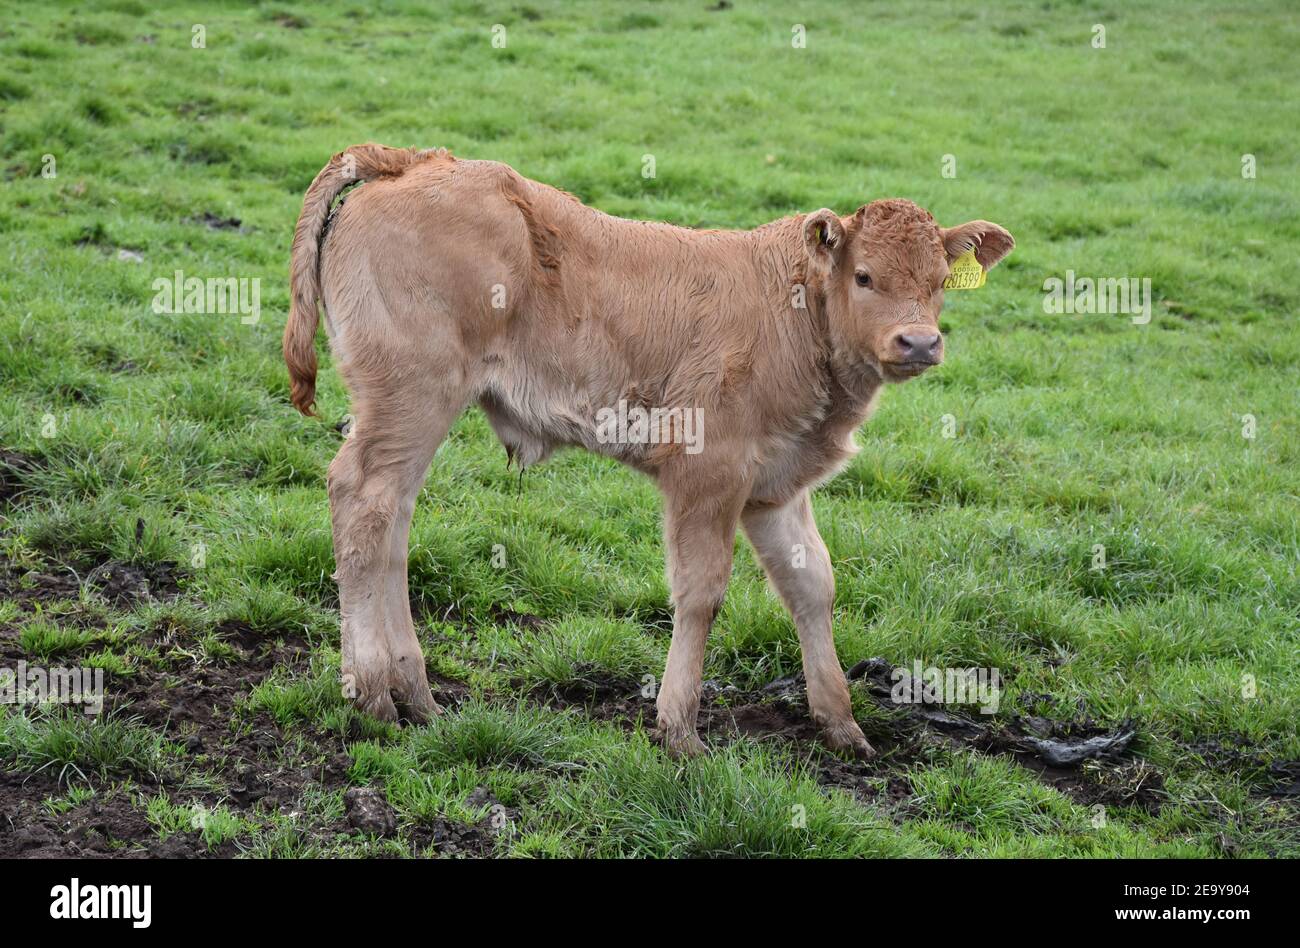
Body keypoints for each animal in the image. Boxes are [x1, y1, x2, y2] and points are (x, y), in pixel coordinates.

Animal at [284, 143, 1014, 759]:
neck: (794, 312)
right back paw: (372, 692)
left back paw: (415, 694)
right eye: (863, 276)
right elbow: (701, 592)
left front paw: (840, 722)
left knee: (393, 521)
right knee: (363, 501)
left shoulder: (775, 488)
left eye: (939, 281)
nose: (919, 342)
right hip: (412, 395)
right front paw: (680, 728)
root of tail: (413, 160)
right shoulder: (708, 472)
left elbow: (813, 585)